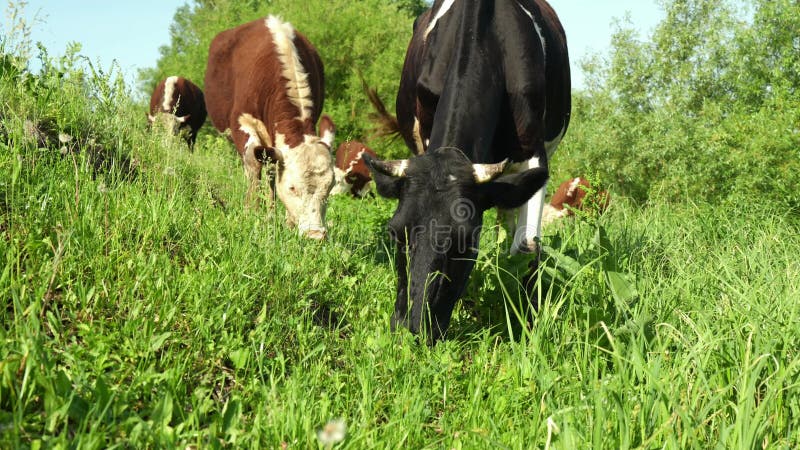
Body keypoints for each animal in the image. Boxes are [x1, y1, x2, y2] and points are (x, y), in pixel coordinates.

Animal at [204, 16, 335, 240]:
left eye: (330, 187)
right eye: (292, 188)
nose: (316, 235)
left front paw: (287, 223)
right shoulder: (241, 123)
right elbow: (254, 167)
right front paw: (252, 213)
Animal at [364, 0, 571, 341]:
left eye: (465, 241)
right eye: (394, 233)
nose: (413, 329)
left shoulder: (534, 154)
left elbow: (527, 246)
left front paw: (526, 326)